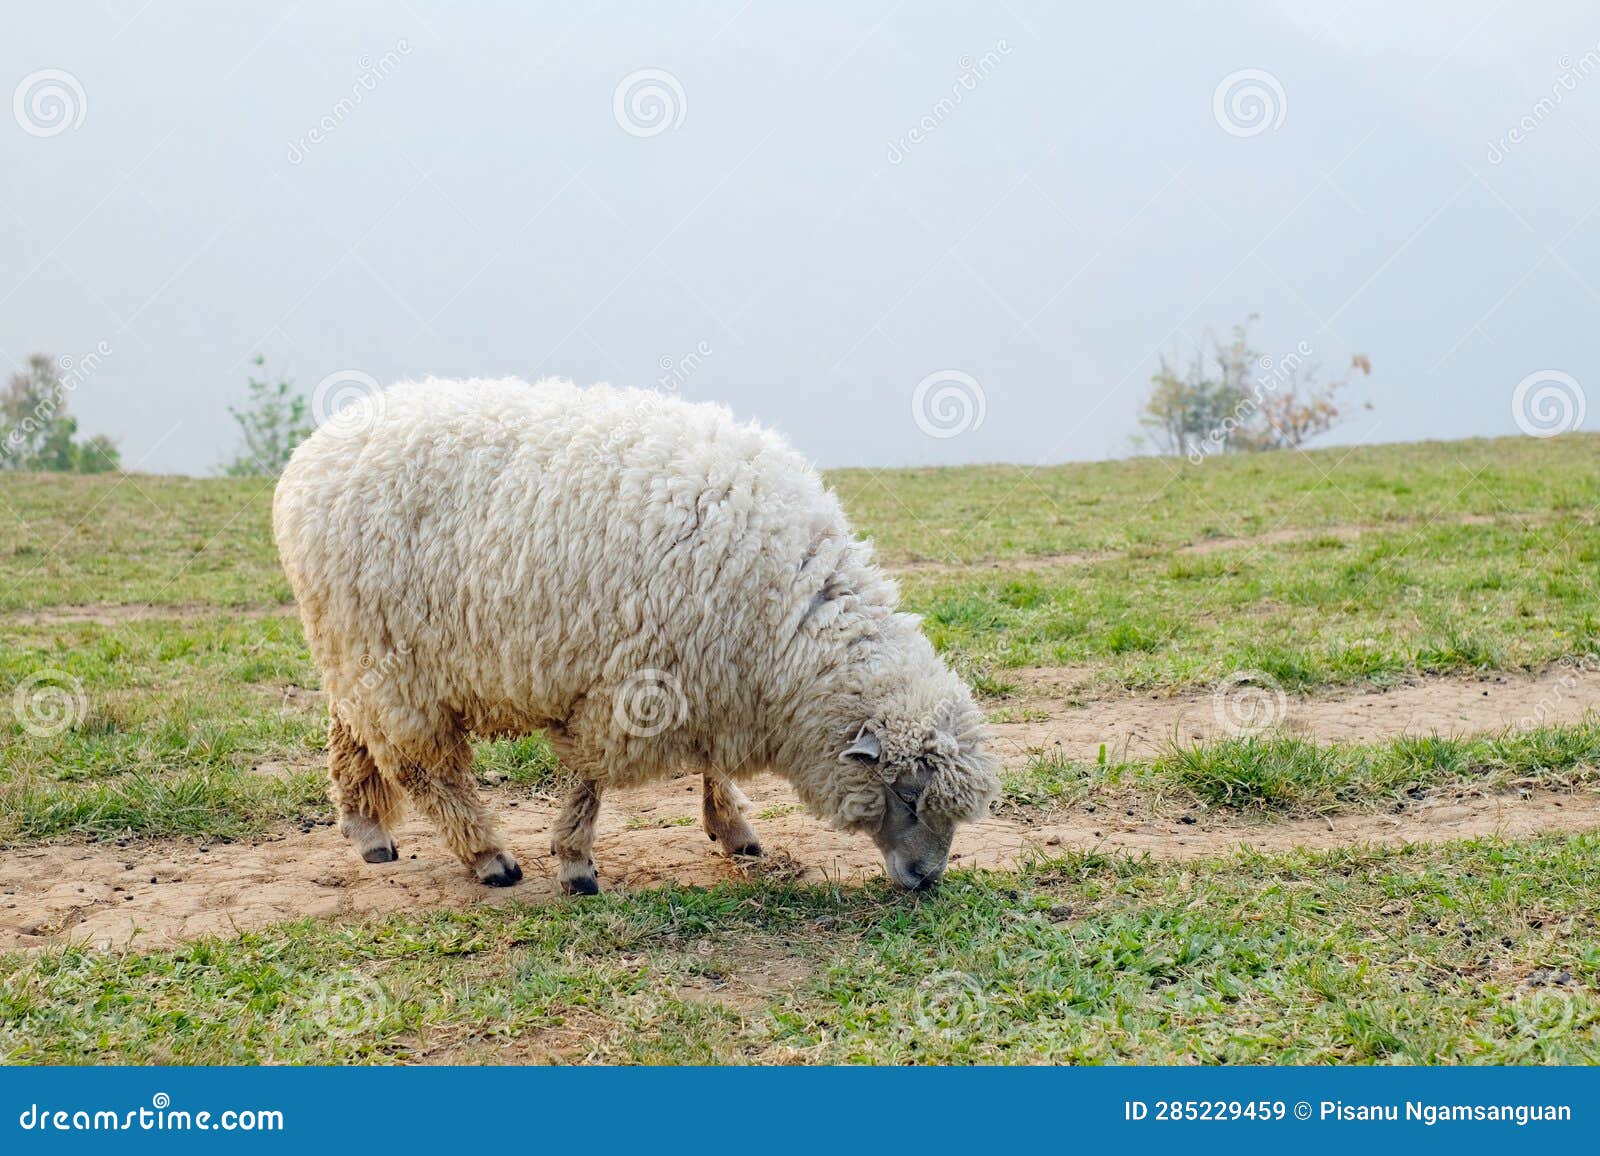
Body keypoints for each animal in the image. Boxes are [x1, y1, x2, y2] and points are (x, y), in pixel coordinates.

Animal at [272, 377, 999, 893]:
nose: (927, 881)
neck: (787, 620)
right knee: (425, 769)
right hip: (391, 660)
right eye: (906, 794)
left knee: (349, 730)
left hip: (360, 652)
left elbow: (707, 763)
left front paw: (733, 827)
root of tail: (310, 452)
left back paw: (367, 831)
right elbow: (591, 778)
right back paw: (488, 856)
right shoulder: (633, 683)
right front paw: (574, 861)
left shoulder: (709, 672)